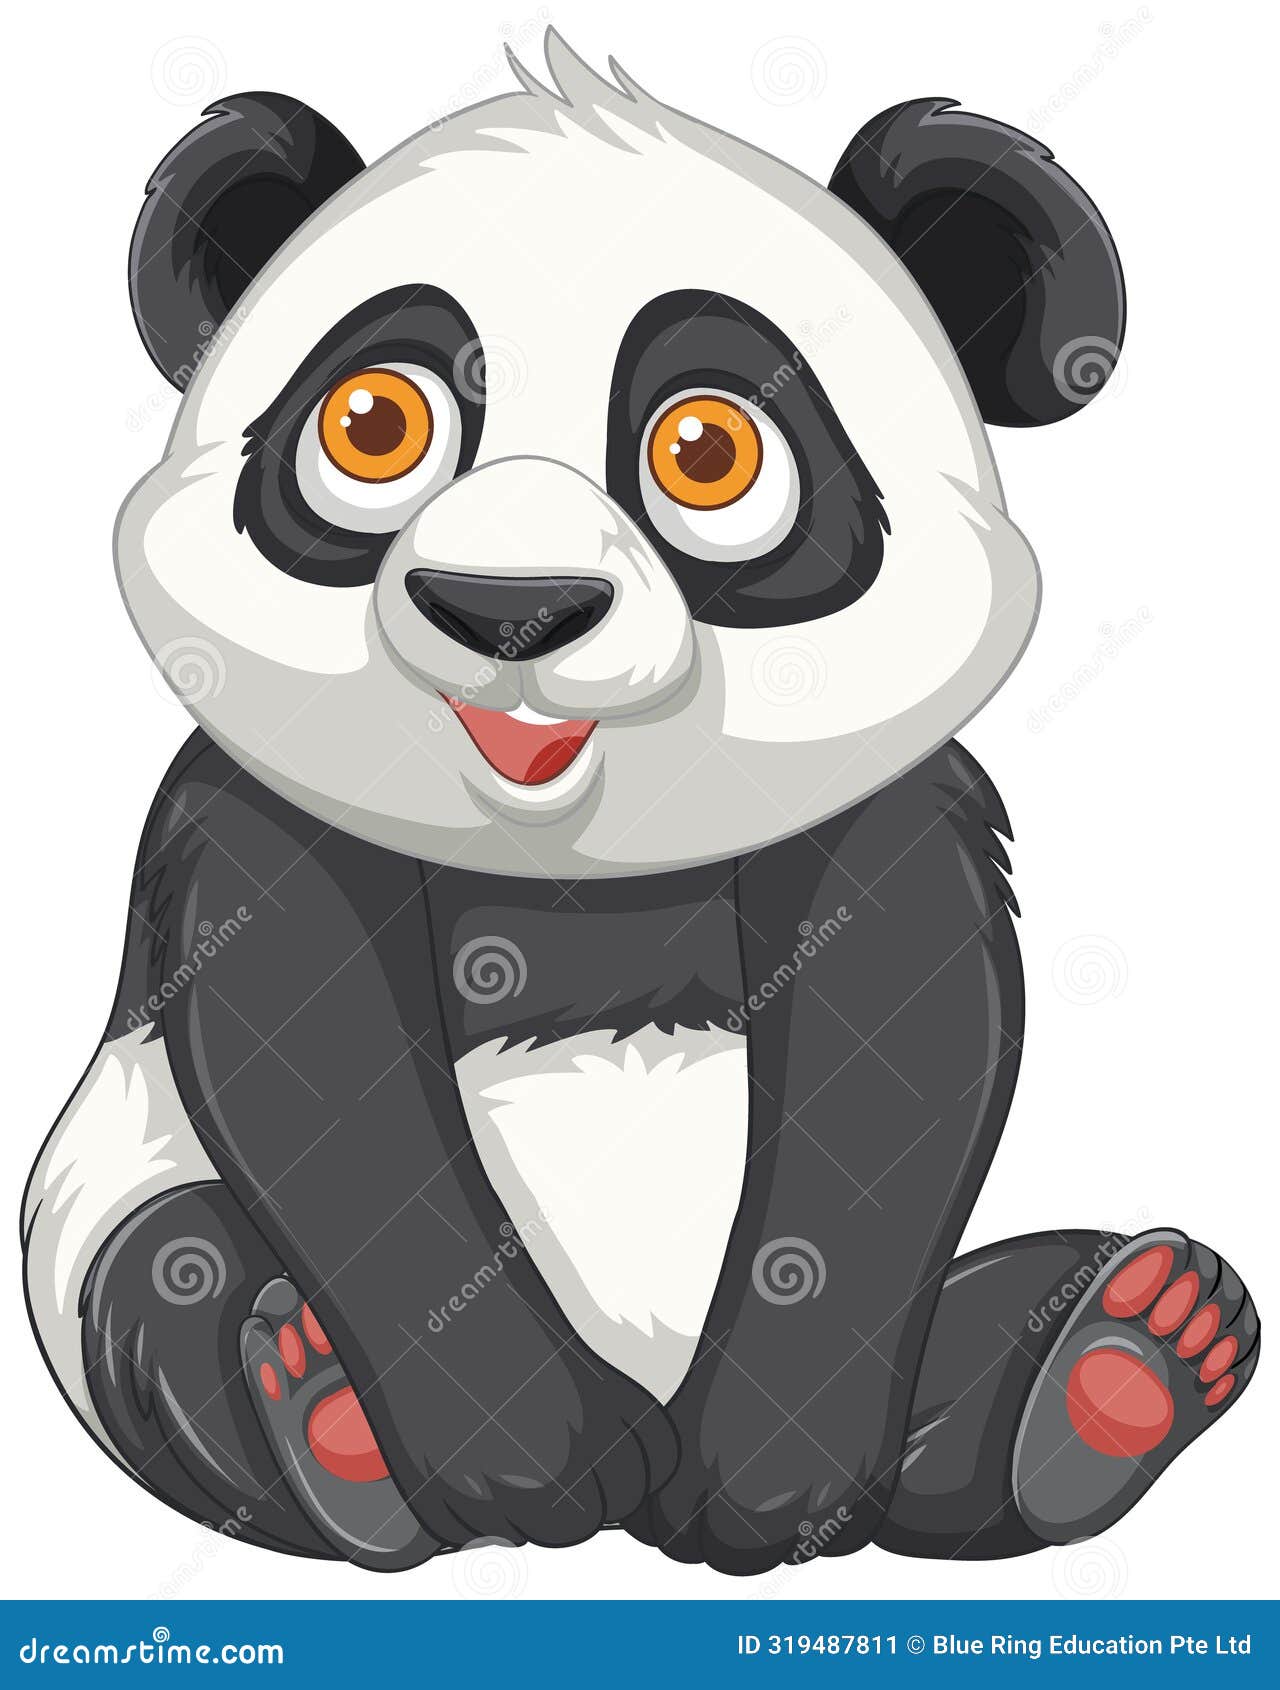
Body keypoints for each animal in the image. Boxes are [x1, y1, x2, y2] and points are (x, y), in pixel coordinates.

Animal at [22, 32, 1258, 1575]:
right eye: (373, 425)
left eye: (706, 450)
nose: (508, 607)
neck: (566, 848)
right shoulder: (255, 801)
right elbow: (316, 1059)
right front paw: (520, 1463)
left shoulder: (881, 810)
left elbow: (890, 1056)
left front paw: (772, 1483)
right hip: (111, 1208)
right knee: (172, 1275)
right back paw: (321, 1406)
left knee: (1002, 1307)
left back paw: (1119, 1362)